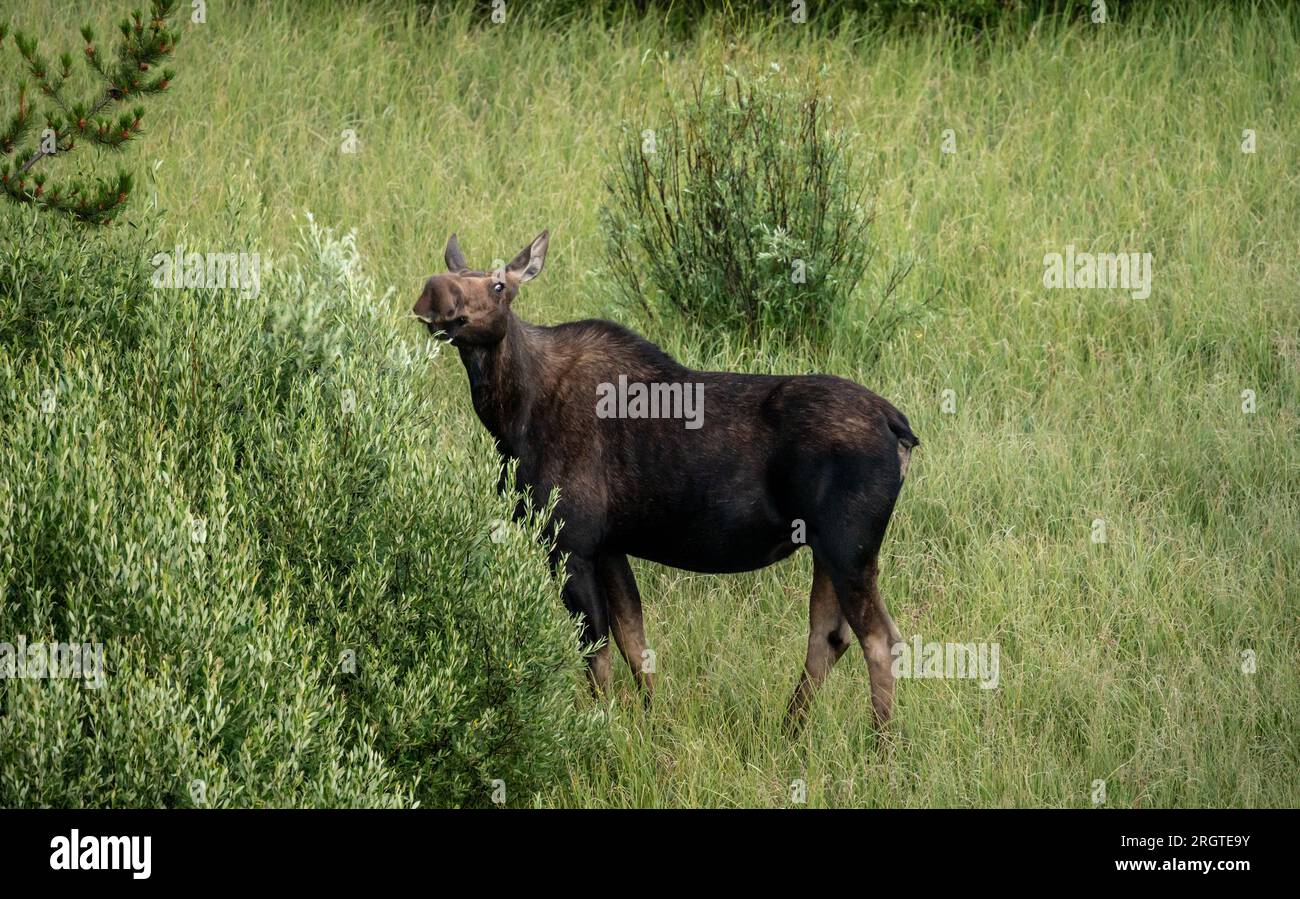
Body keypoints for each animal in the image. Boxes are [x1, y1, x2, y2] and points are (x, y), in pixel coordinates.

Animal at [413, 230, 918, 731]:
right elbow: (635, 644)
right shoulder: (610, 546)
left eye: (499, 284)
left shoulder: (571, 541)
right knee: (829, 637)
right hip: (827, 550)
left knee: (880, 639)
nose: (435, 290)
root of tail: (899, 427)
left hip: (848, 546)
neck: (509, 418)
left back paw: (879, 742)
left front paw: (605, 729)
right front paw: (652, 724)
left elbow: (597, 651)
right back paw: (790, 731)